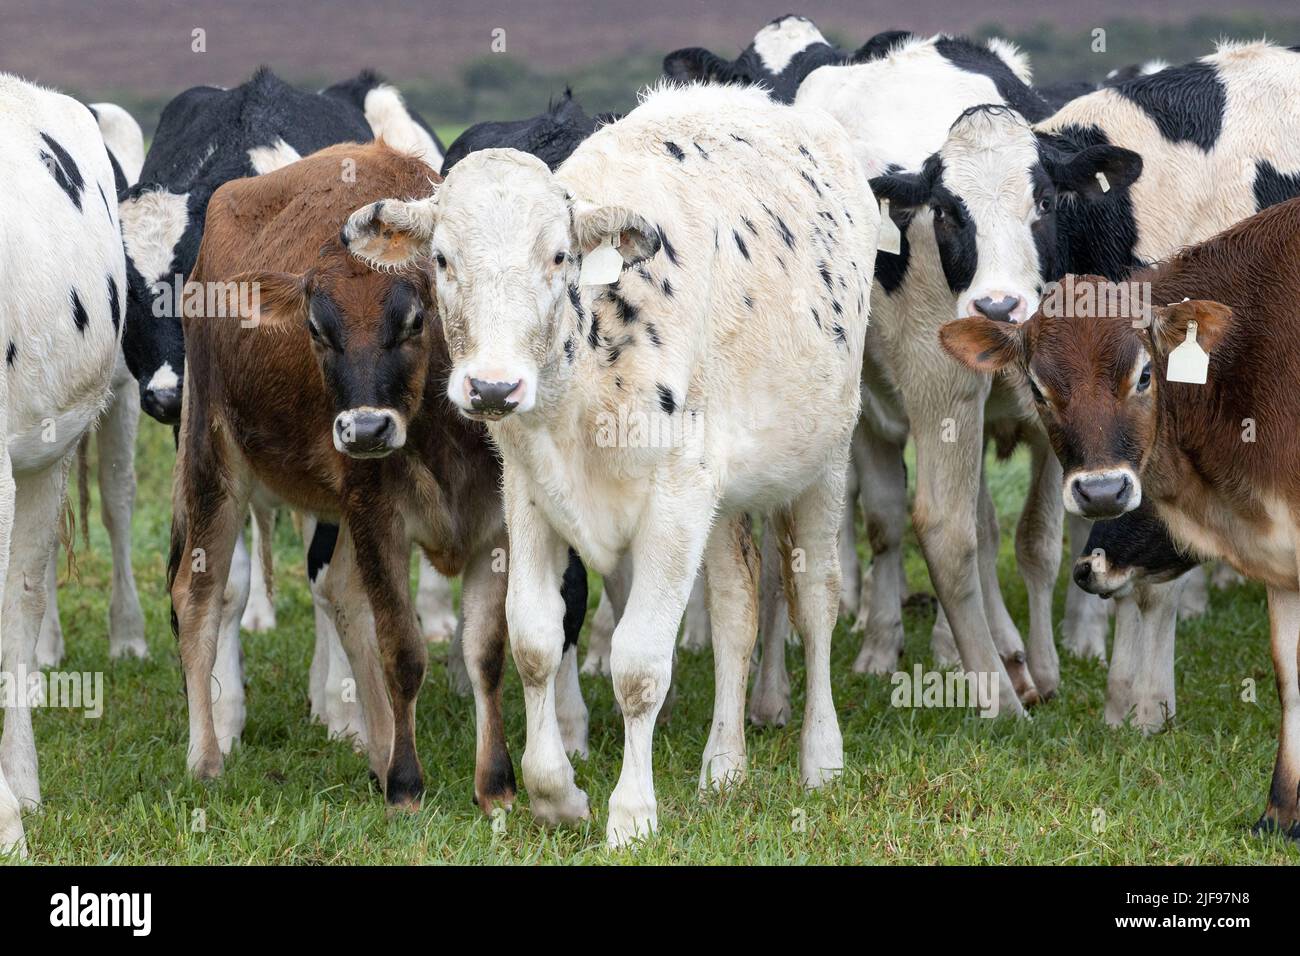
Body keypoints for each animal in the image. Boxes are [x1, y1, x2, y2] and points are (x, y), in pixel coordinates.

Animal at [170, 139, 590, 812]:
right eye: (317, 329)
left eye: (414, 321)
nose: (365, 430)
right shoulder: (378, 516)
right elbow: (402, 651)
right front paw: (407, 785)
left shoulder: (493, 531)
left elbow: (485, 653)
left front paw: (495, 785)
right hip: (215, 457)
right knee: (197, 595)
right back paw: (207, 758)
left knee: (342, 597)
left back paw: (376, 749)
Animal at [341, 81, 882, 845]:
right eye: (443, 259)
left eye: (558, 257)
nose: (493, 387)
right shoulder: (529, 494)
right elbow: (535, 640)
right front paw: (555, 794)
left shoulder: (676, 501)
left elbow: (639, 664)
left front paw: (632, 813)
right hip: (722, 505)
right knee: (737, 606)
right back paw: (724, 765)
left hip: (825, 462)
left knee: (816, 600)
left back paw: (821, 755)